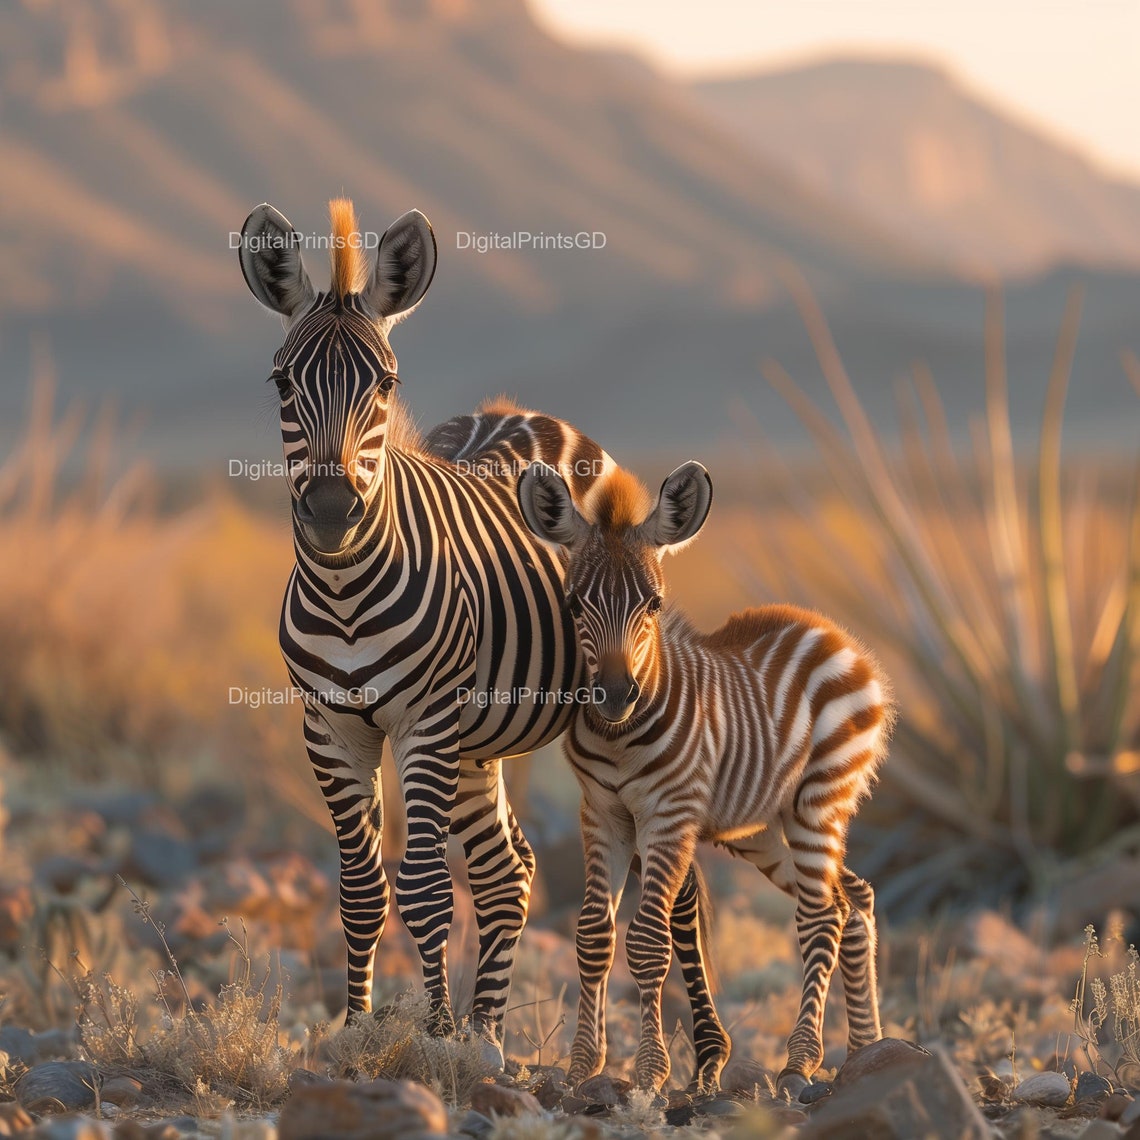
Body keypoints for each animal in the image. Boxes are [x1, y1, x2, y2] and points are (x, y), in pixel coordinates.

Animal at [235, 196, 629, 1051]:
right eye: (282, 381)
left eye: (385, 383)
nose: (330, 510)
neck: (346, 591)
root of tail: (518, 413)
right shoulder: (330, 725)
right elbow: (359, 887)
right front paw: (358, 1027)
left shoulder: (424, 719)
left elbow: (421, 885)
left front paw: (437, 1034)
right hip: (479, 740)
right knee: (506, 869)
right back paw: (487, 1033)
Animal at [517, 459, 894, 1095]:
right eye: (573, 605)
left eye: (652, 604)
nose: (613, 695)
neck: (619, 737)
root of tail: (829, 630)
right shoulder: (601, 813)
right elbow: (593, 934)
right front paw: (581, 1067)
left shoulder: (668, 816)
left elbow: (648, 941)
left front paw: (649, 1073)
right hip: (765, 829)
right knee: (853, 899)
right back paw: (868, 1049)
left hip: (819, 801)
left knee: (821, 916)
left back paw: (800, 1061)